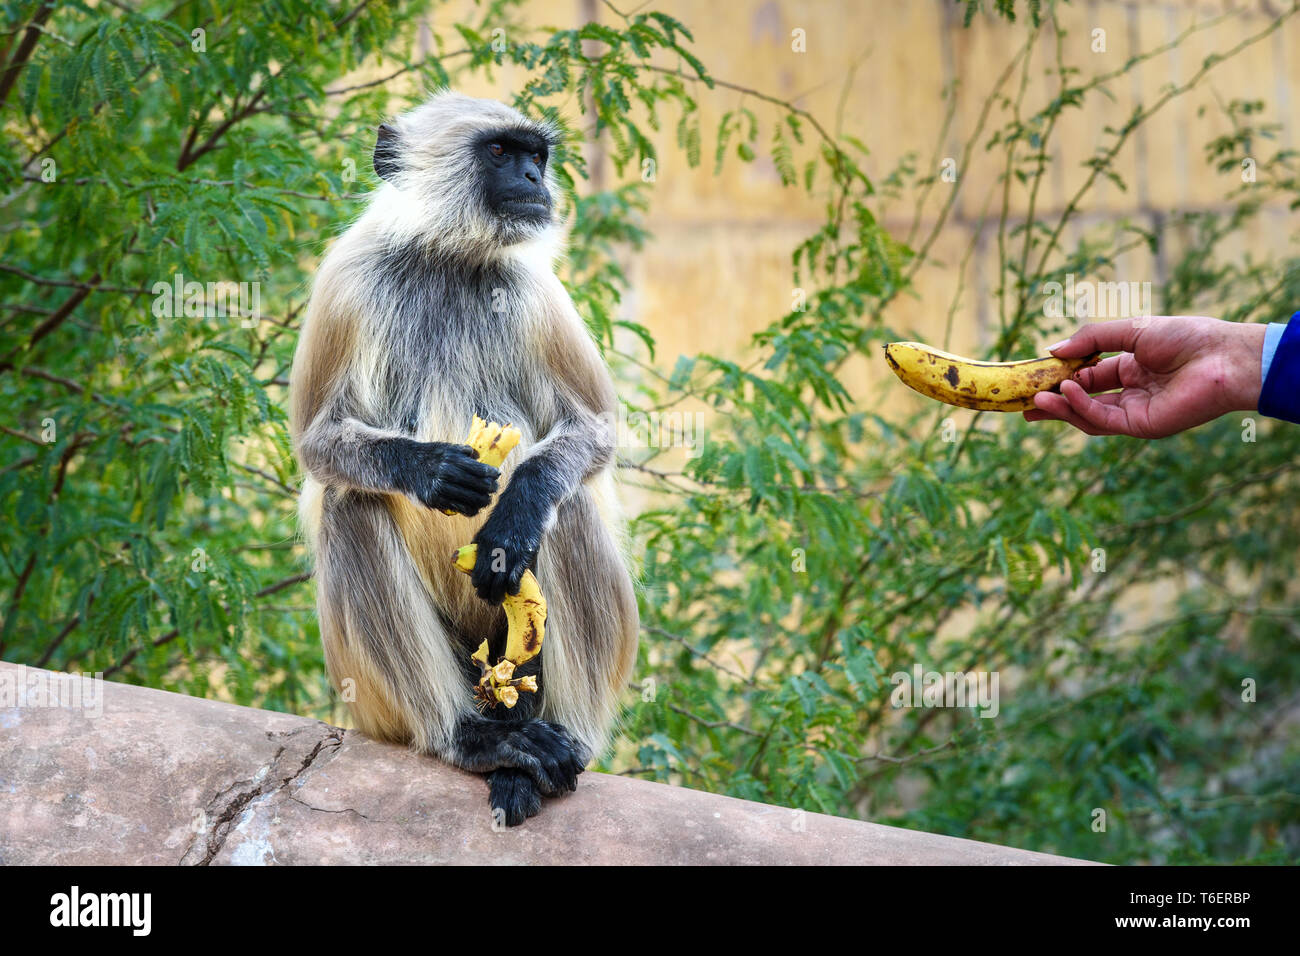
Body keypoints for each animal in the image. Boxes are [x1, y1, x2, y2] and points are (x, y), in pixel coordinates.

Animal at [288, 91, 639, 826]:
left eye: (536, 155)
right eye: (501, 152)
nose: (534, 180)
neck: (451, 253)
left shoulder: (537, 289)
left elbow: (594, 429)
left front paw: (517, 513)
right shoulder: (347, 277)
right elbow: (317, 443)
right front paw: (426, 471)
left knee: (566, 507)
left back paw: (561, 742)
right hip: (374, 700)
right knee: (350, 500)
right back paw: (475, 739)